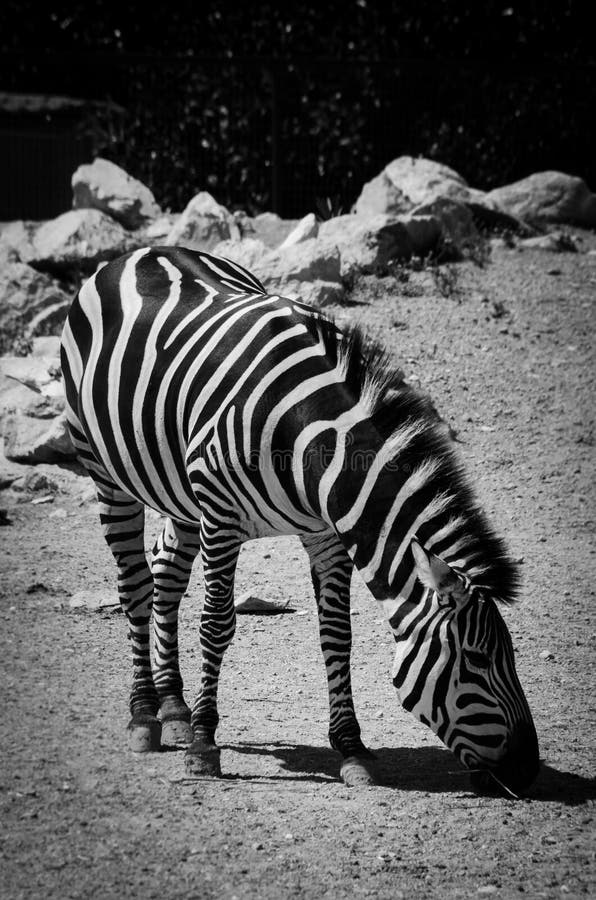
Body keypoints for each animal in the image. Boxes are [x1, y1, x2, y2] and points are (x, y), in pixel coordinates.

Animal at [60, 245, 540, 796]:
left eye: (512, 656)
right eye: (478, 660)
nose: (529, 770)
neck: (306, 434)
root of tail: (143, 251)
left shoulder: (325, 535)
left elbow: (337, 633)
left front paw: (351, 749)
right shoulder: (221, 517)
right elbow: (216, 625)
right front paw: (205, 746)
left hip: (179, 488)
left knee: (166, 572)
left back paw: (174, 706)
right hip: (105, 471)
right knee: (136, 584)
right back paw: (144, 714)